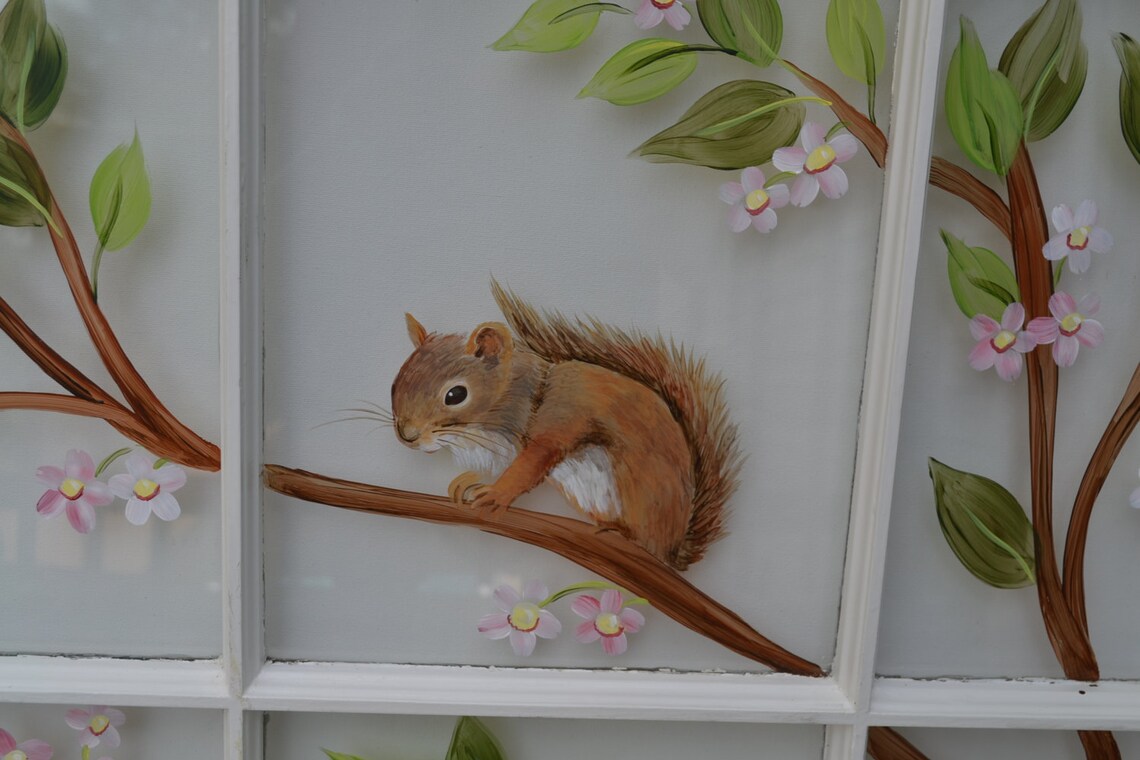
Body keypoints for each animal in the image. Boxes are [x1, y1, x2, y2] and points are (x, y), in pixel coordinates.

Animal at [390, 280, 741, 571]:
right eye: (396, 382)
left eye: (456, 394)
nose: (407, 436)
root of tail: (675, 547)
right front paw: (467, 481)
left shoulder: (555, 425)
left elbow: (529, 466)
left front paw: (495, 493)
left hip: (639, 484)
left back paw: (622, 532)